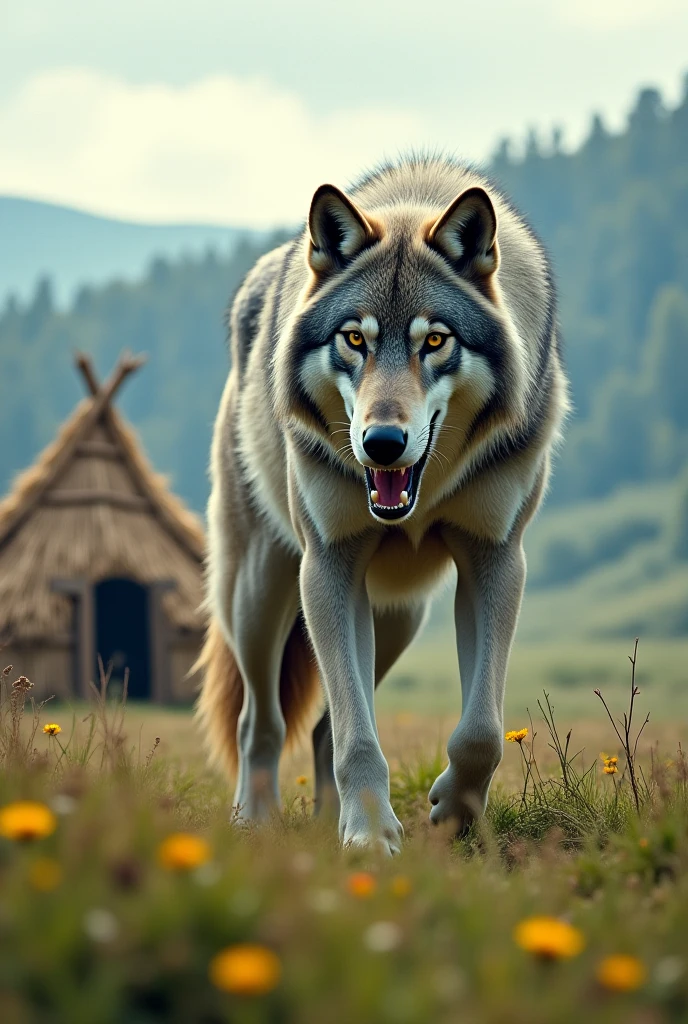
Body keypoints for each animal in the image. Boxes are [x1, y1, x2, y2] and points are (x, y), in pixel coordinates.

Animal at [197, 156, 568, 853]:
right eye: (354, 339)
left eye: (435, 342)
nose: (382, 442)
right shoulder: (329, 567)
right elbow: (357, 737)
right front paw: (370, 837)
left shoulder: (497, 560)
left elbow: (481, 732)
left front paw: (452, 813)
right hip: (260, 594)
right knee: (260, 723)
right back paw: (255, 823)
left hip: (399, 614)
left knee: (319, 728)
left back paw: (324, 822)